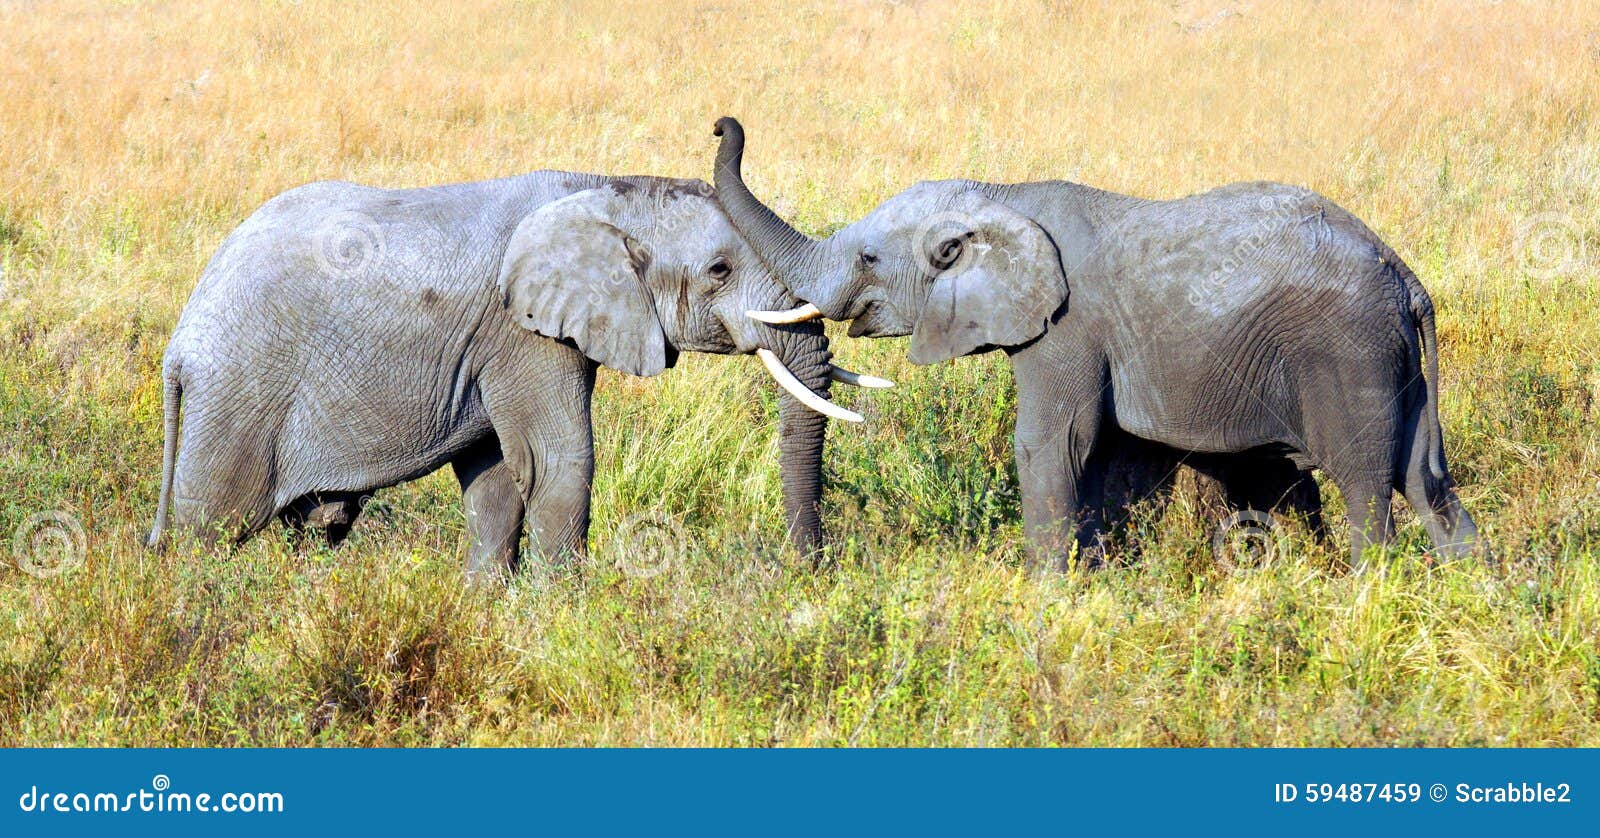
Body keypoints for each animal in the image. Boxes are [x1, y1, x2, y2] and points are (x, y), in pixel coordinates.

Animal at [145, 171, 886, 579]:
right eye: (719, 271)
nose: (811, 572)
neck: (604, 187)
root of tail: (179, 348)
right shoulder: (521, 334)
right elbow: (559, 464)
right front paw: (563, 617)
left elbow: (497, 478)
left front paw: (486, 608)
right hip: (237, 398)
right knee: (210, 531)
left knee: (313, 525)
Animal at [712, 117, 1476, 569]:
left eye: (869, 259)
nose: (725, 123)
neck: (1001, 195)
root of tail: (1406, 277)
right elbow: (1109, 458)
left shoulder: (1066, 330)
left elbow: (1053, 442)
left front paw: (1045, 595)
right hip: (1393, 361)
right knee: (1425, 483)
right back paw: (1473, 583)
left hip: (1348, 353)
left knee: (1367, 485)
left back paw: (1364, 593)